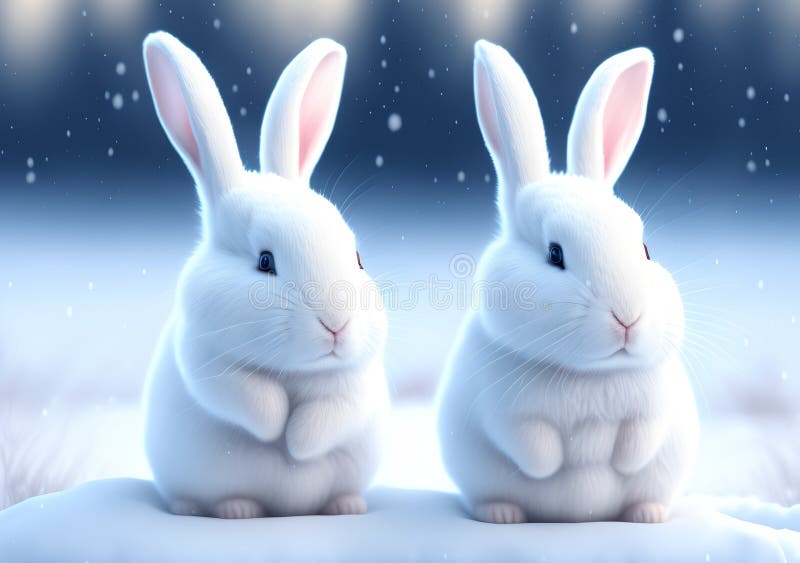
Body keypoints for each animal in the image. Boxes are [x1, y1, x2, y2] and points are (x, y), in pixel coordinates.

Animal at [141, 31, 389, 518]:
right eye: (265, 262)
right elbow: (250, 396)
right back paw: (231, 509)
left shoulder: (357, 377)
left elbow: (334, 411)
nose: (337, 325)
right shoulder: (203, 357)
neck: (297, 370)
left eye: (357, 258)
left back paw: (346, 506)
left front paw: (297, 442)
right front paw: (279, 430)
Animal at [437, 40, 698, 524]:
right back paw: (503, 515)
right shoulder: (504, 411)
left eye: (645, 249)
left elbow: (641, 436)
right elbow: (532, 444)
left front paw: (622, 462)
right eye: (555, 254)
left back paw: (646, 515)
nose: (627, 318)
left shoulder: (654, 405)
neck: (591, 375)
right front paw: (552, 467)